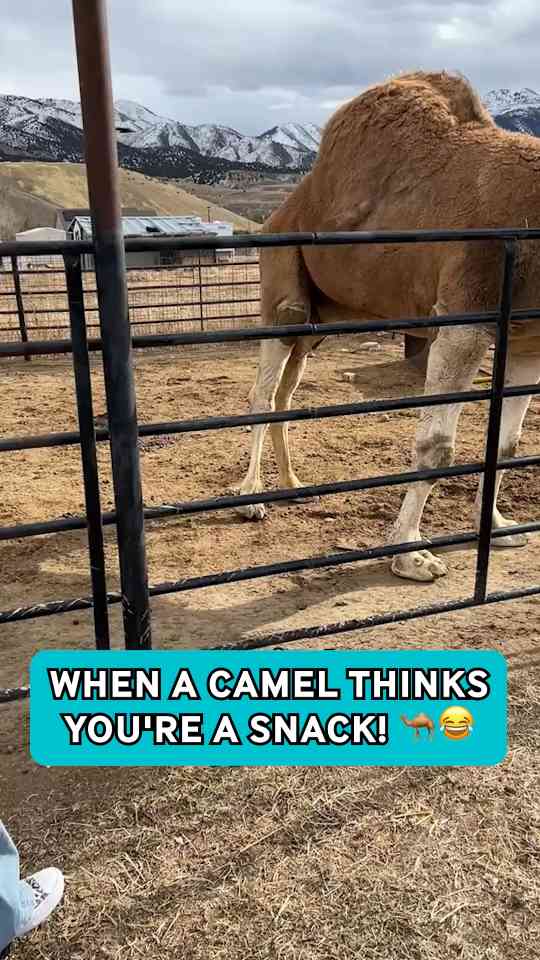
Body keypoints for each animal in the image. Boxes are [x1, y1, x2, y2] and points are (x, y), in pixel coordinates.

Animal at [234, 70, 540, 582]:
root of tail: (277, 215)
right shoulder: (465, 309)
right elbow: (437, 445)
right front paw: (408, 552)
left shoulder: (529, 339)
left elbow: (508, 444)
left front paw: (498, 527)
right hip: (282, 289)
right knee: (263, 390)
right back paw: (250, 498)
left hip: (318, 321)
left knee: (285, 394)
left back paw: (293, 482)